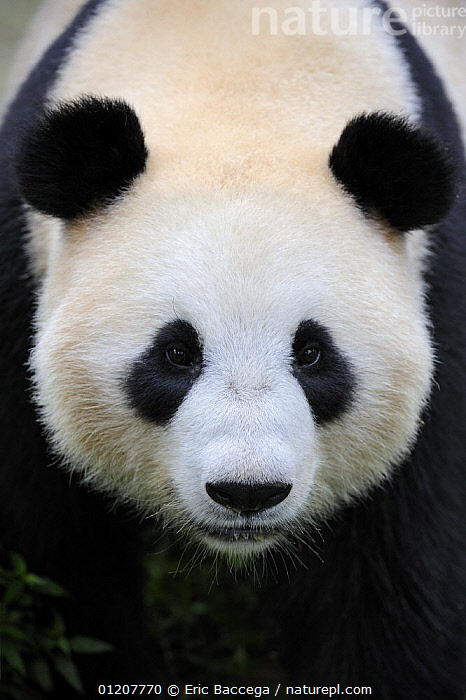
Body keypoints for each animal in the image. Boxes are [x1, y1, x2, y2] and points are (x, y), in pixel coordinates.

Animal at [0, 0, 465, 697]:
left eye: (312, 353)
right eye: (176, 354)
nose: (248, 492)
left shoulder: (437, 286)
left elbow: (396, 568)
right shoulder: (18, 273)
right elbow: (54, 551)